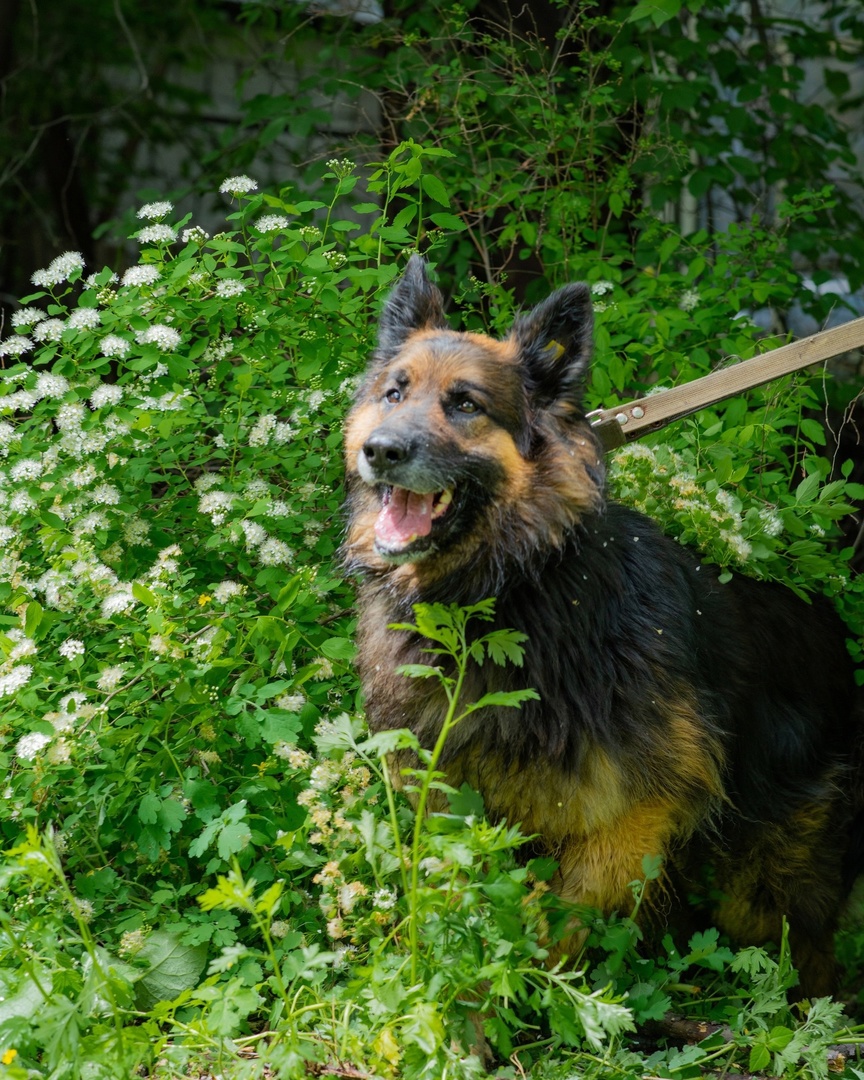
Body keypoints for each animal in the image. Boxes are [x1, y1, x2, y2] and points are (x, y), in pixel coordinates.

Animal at [341, 254, 859, 993]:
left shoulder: (640, 805)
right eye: (393, 393)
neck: (511, 589)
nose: (381, 450)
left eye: (466, 404)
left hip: (769, 883)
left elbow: (566, 911)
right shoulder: (443, 785)